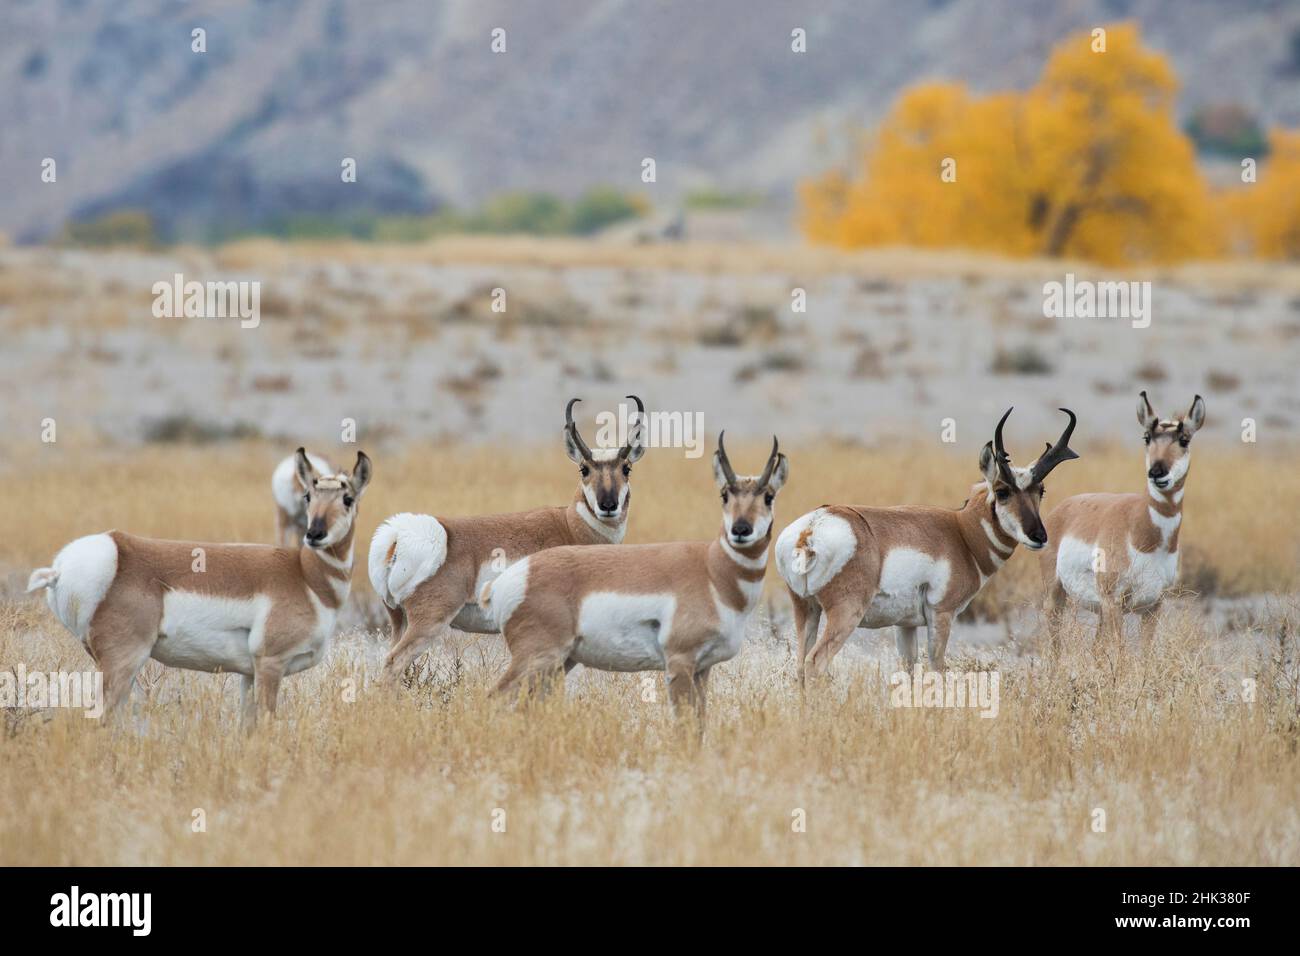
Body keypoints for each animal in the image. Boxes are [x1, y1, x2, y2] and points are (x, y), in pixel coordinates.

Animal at [26, 449, 372, 722]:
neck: (305, 575)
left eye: (347, 498)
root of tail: (61, 566)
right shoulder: (271, 665)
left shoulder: (249, 674)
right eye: (308, 496)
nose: (314, 534)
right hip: (124, 661)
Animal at [369, 396, 646, 680]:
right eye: (584, 469)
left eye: (626, 468)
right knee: (394, 662)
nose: (608, 505)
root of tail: (397, 535)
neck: (569, 524)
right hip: (429, 623)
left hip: (398, 620)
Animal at [478, 433, 788, 722]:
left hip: (557, 663)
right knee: (493, 699)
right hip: (538, 659)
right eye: (725, 495)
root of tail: (510, 578)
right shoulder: (679, 664)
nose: (741, 530)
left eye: (769, 496)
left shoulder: (703, 668)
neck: (711, 570)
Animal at [776, 408, 1079, 680]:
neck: (961, 533)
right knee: (815, 663)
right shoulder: (941, 615)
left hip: (806, 610)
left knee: (800, 666)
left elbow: (908, 669)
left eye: (1041, 490)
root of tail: (810, 527)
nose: (1039, 536)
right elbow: (937, 667)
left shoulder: (905, 625)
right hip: (845, 613)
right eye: (1002, 491)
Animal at [1040, 393, 1204, 641]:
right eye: (1147, 437)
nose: (1157, 472)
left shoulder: (1154, 606)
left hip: (1099, 611)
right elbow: (1120, 649)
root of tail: (1063, 507)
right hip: (1056, 597)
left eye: (1184, 439)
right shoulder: (1114, 603)